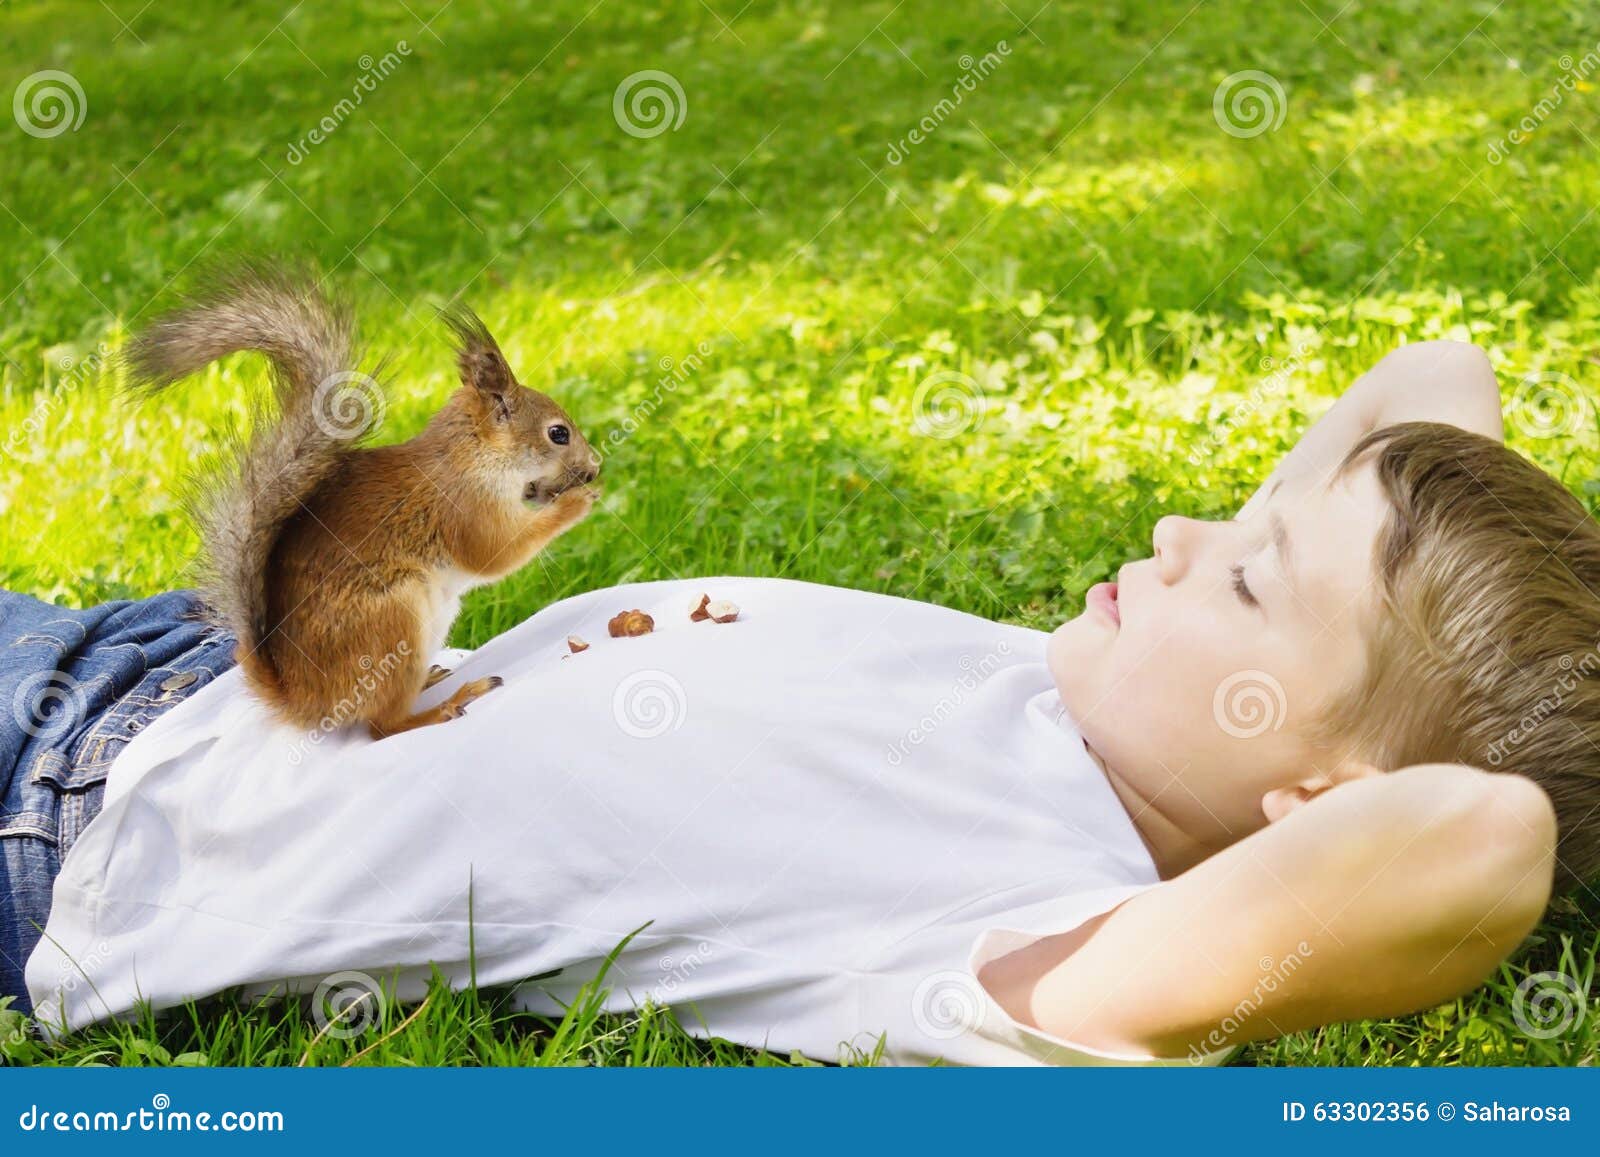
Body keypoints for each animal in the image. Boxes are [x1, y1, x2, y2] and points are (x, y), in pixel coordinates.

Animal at [123, 265, 601, 739]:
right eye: (558, 434)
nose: (594, 467)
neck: (474, 454)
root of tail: (305, 701)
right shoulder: (462, 508)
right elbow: (496, 554)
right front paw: (575, 503)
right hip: (392, 623)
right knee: (382, 726)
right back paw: (446, 705)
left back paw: (431, 679)